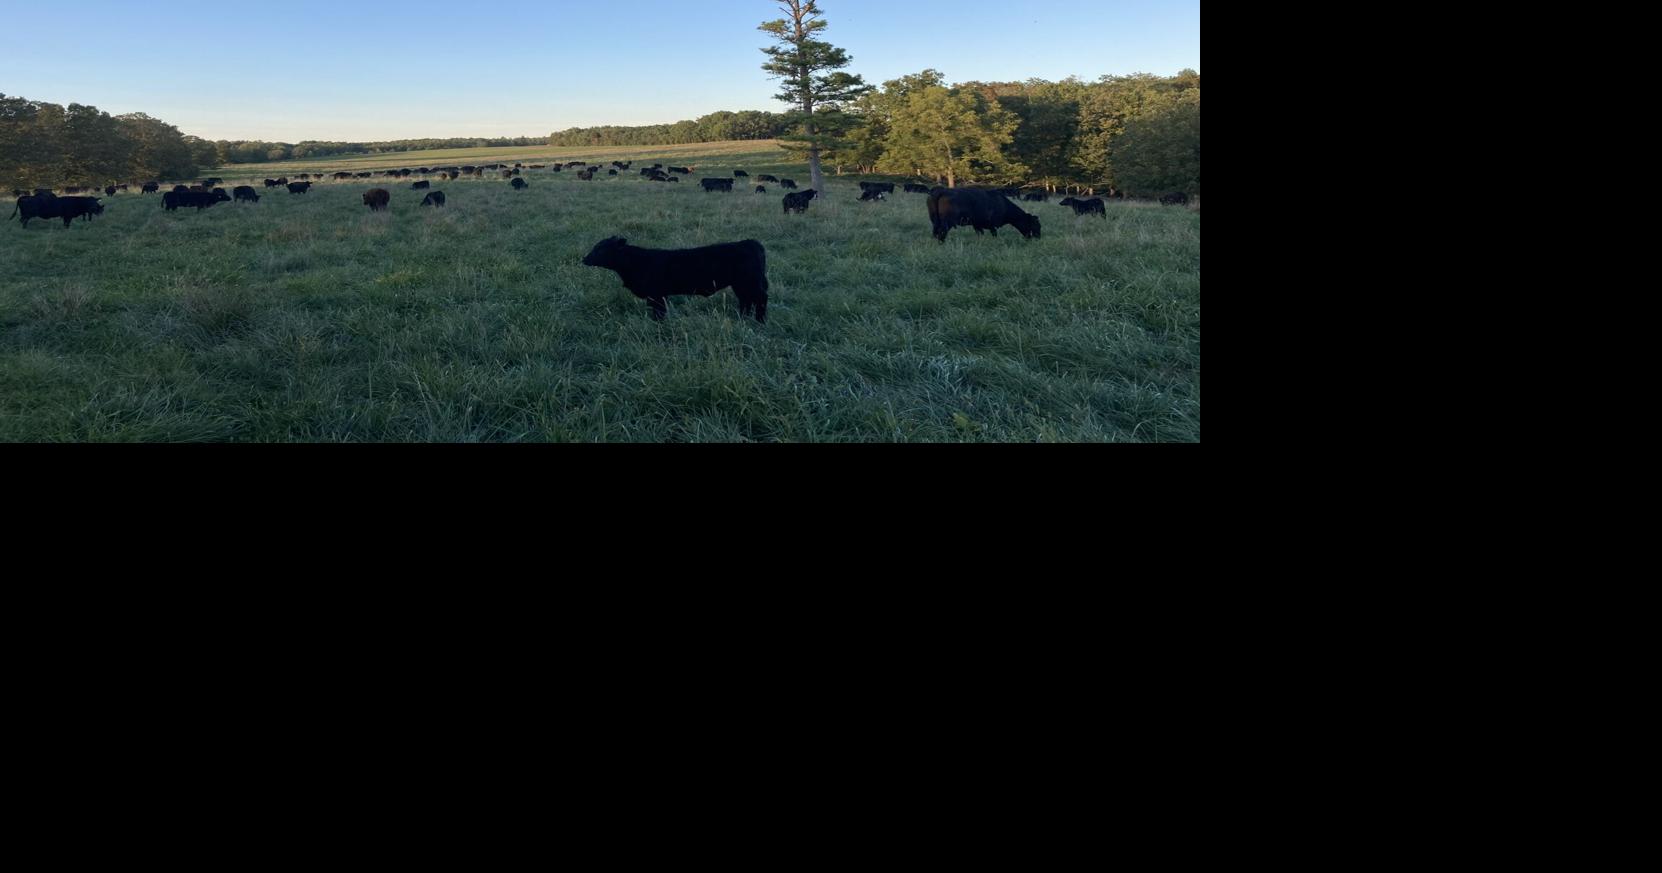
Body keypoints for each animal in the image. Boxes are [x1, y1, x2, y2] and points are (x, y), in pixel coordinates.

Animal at [582, 236, 769, 324]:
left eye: (601, 249)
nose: (585, 259)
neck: (637, 262)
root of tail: (750, 242)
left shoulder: (656, 295)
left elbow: (659, 313)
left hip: (750, 282)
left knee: (760, 298)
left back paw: (760, 321)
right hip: (740, 284)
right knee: (746, 300)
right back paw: (743, 319)